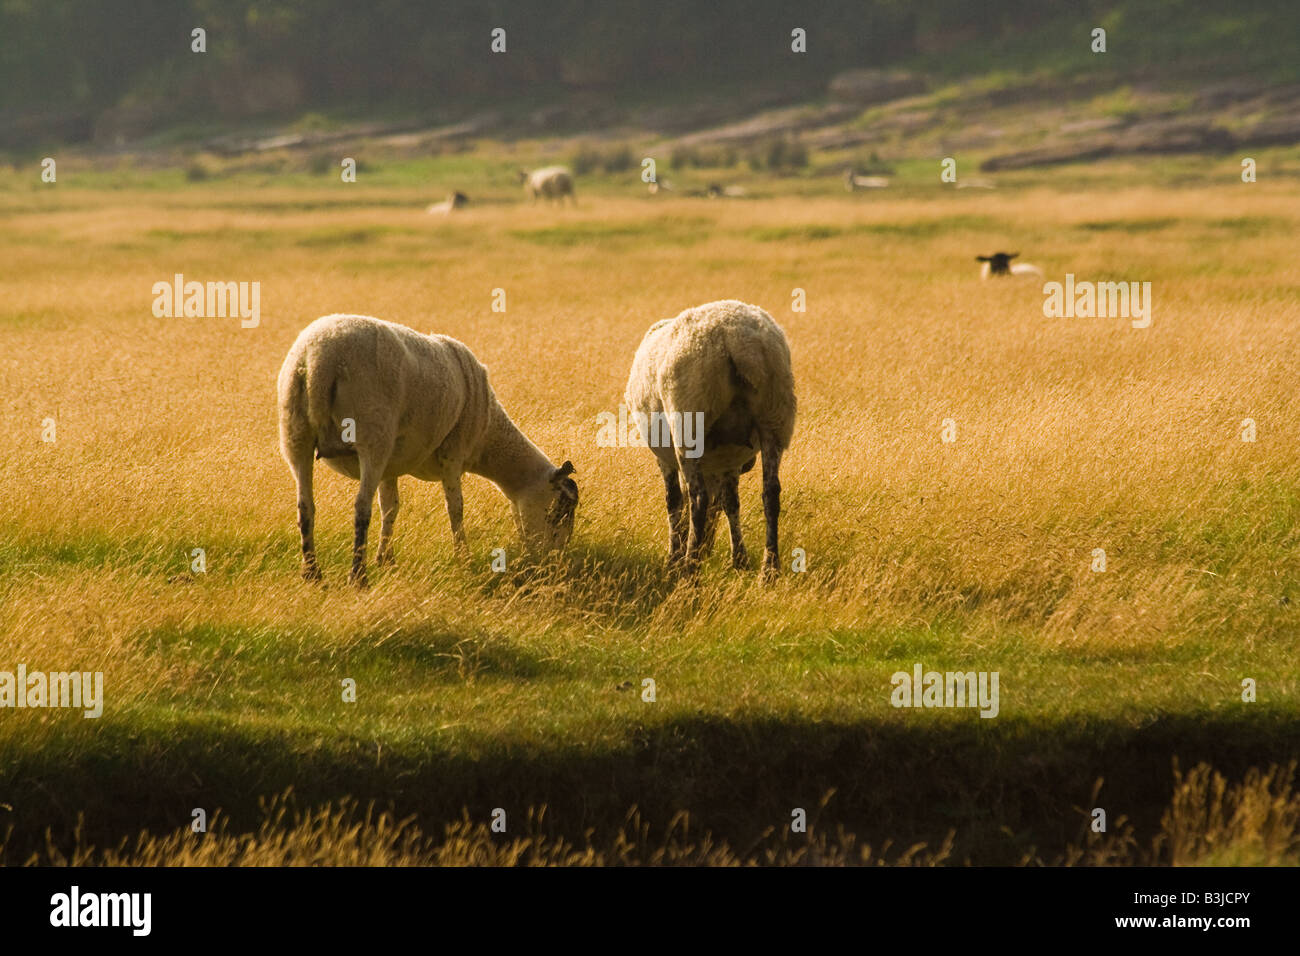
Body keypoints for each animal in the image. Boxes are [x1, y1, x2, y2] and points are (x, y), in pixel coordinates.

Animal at [277, 314, 578, 587]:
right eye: (557, 513)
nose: (554, 564)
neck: (488, 437)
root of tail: (320, 359)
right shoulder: (452, 453)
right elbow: (455, 508)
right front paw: (463, 559)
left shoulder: (390, 466)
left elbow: (390, 508)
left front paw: (386, 559)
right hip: (372, 435)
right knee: (361, 507)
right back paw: (358, 576)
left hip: (296, 434)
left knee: (305, 506)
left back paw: (312, 574)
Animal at [625, 300, 795, 577]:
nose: (707, 548)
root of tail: (737, 339)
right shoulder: (730, 460)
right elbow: (730, 503)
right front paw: (739, 560)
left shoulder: (666, 459)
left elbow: (674, 501)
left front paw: (674, 557)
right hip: (775, 416)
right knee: (771, 493)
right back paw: (769, 570)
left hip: (688, 420)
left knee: (698, 499)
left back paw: (689, 569)